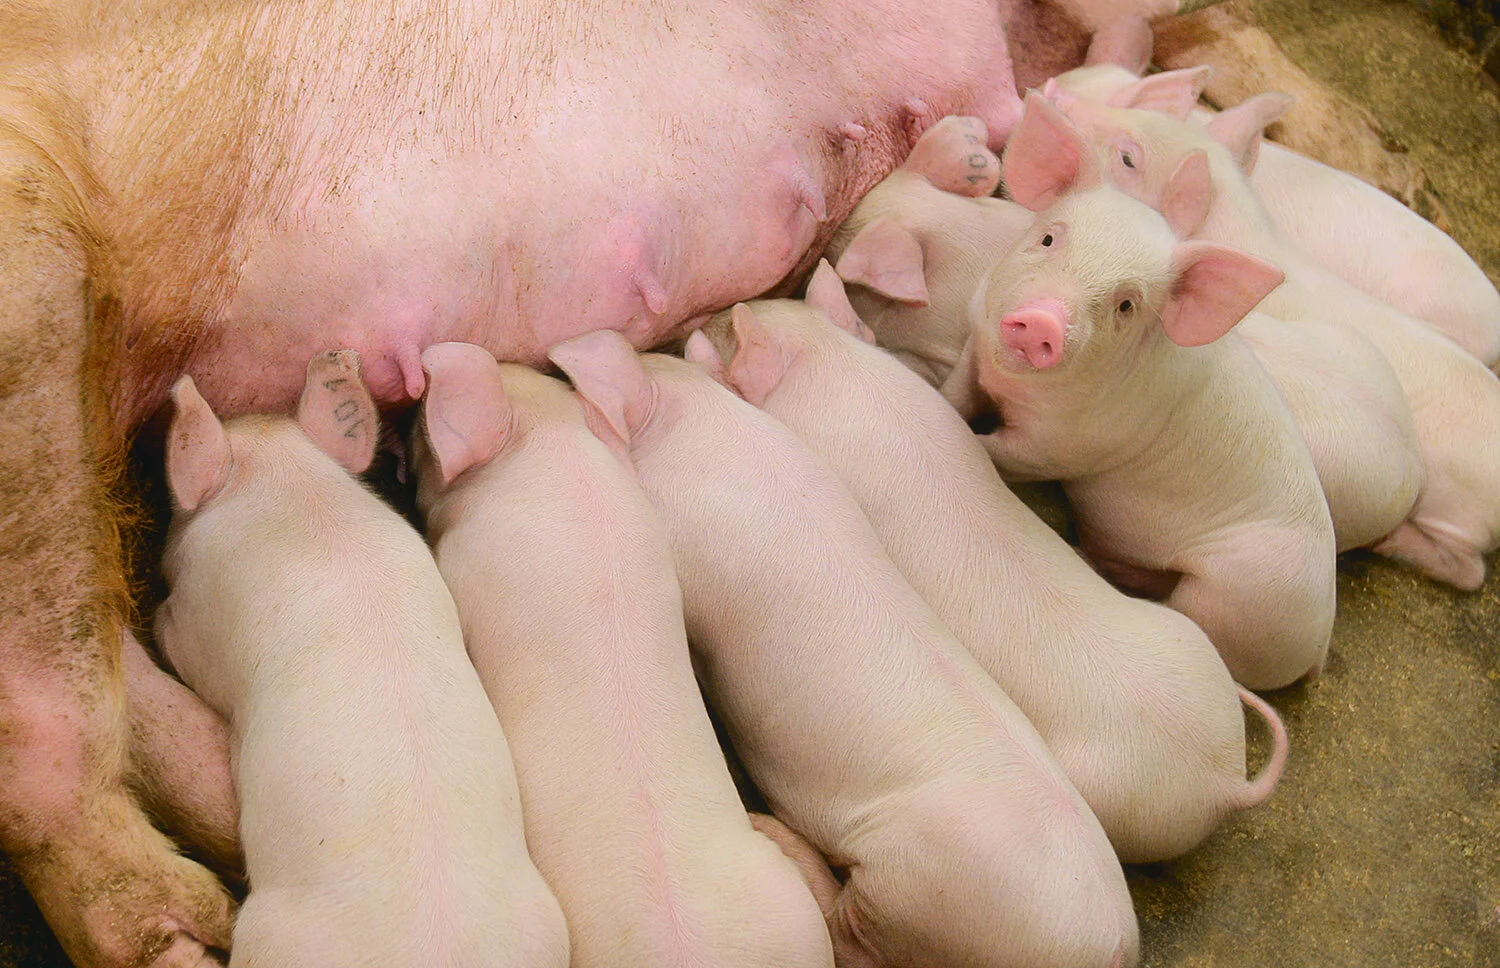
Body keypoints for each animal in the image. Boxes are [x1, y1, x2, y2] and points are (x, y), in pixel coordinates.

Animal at [954, 93, 1335, 691]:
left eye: (1127, 304)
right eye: (1049, 237)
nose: (1042, 321)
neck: (1013, 388)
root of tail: (1320, 642)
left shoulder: (1066, 447)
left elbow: (1002, 449)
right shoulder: (976, 340)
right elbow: (958, 387)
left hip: (1233, 598)